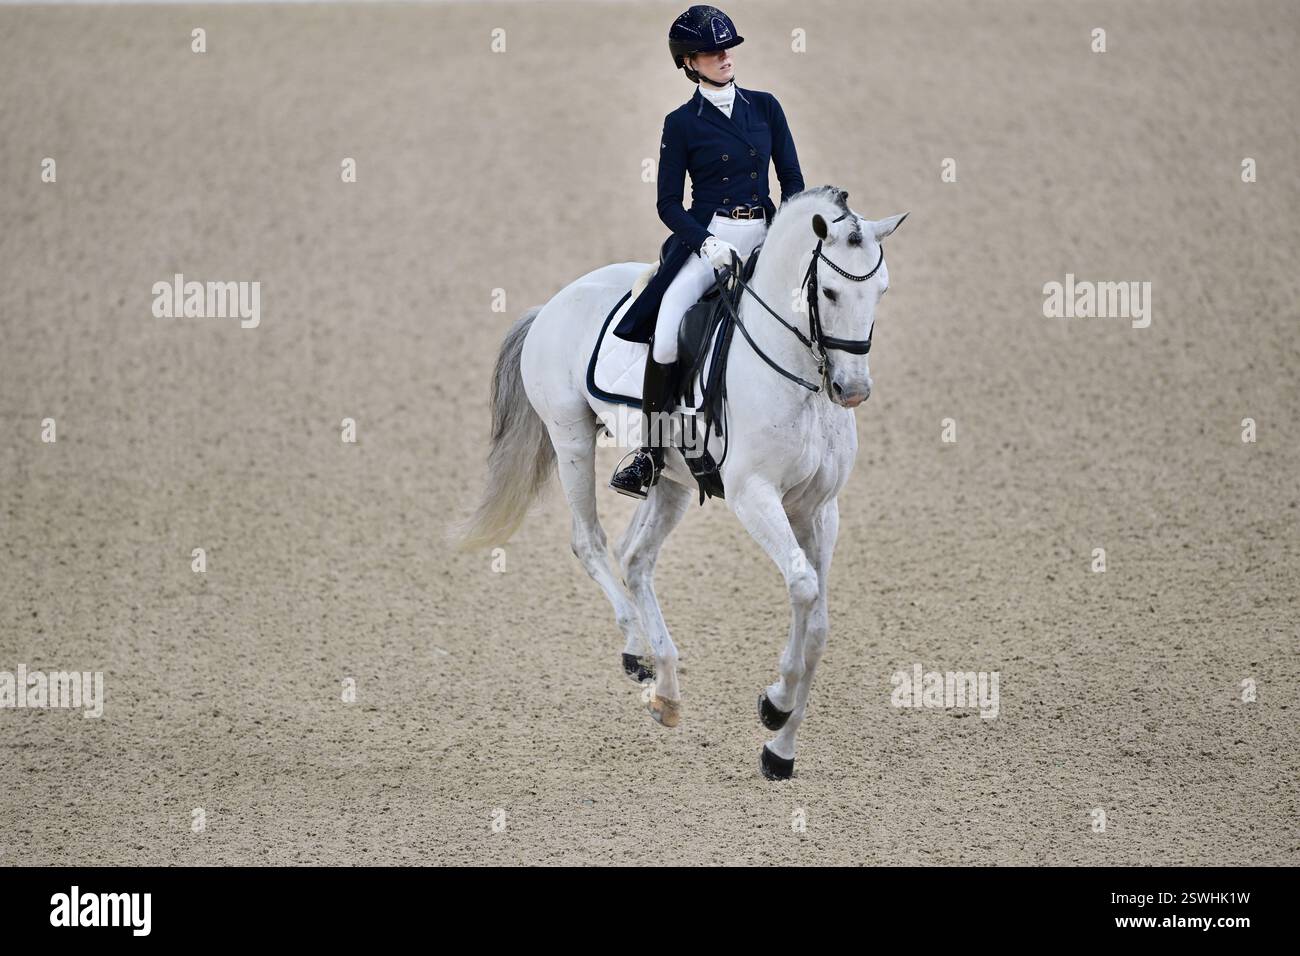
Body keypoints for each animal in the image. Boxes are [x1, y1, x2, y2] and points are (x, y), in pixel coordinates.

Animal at [454, 185, 907, 779]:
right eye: (829, 291)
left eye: (881, 290)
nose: (852, 391)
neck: (797, 375)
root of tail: (551, 304)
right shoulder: (754, 495)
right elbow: (803, 586)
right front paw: (775, 703)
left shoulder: (819, 509)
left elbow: (818, 623)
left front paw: (779, 747)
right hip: (571, 438)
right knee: (591, 543)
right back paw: (636, 651)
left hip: (670, 479)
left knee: (635, 559)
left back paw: (665, 688)